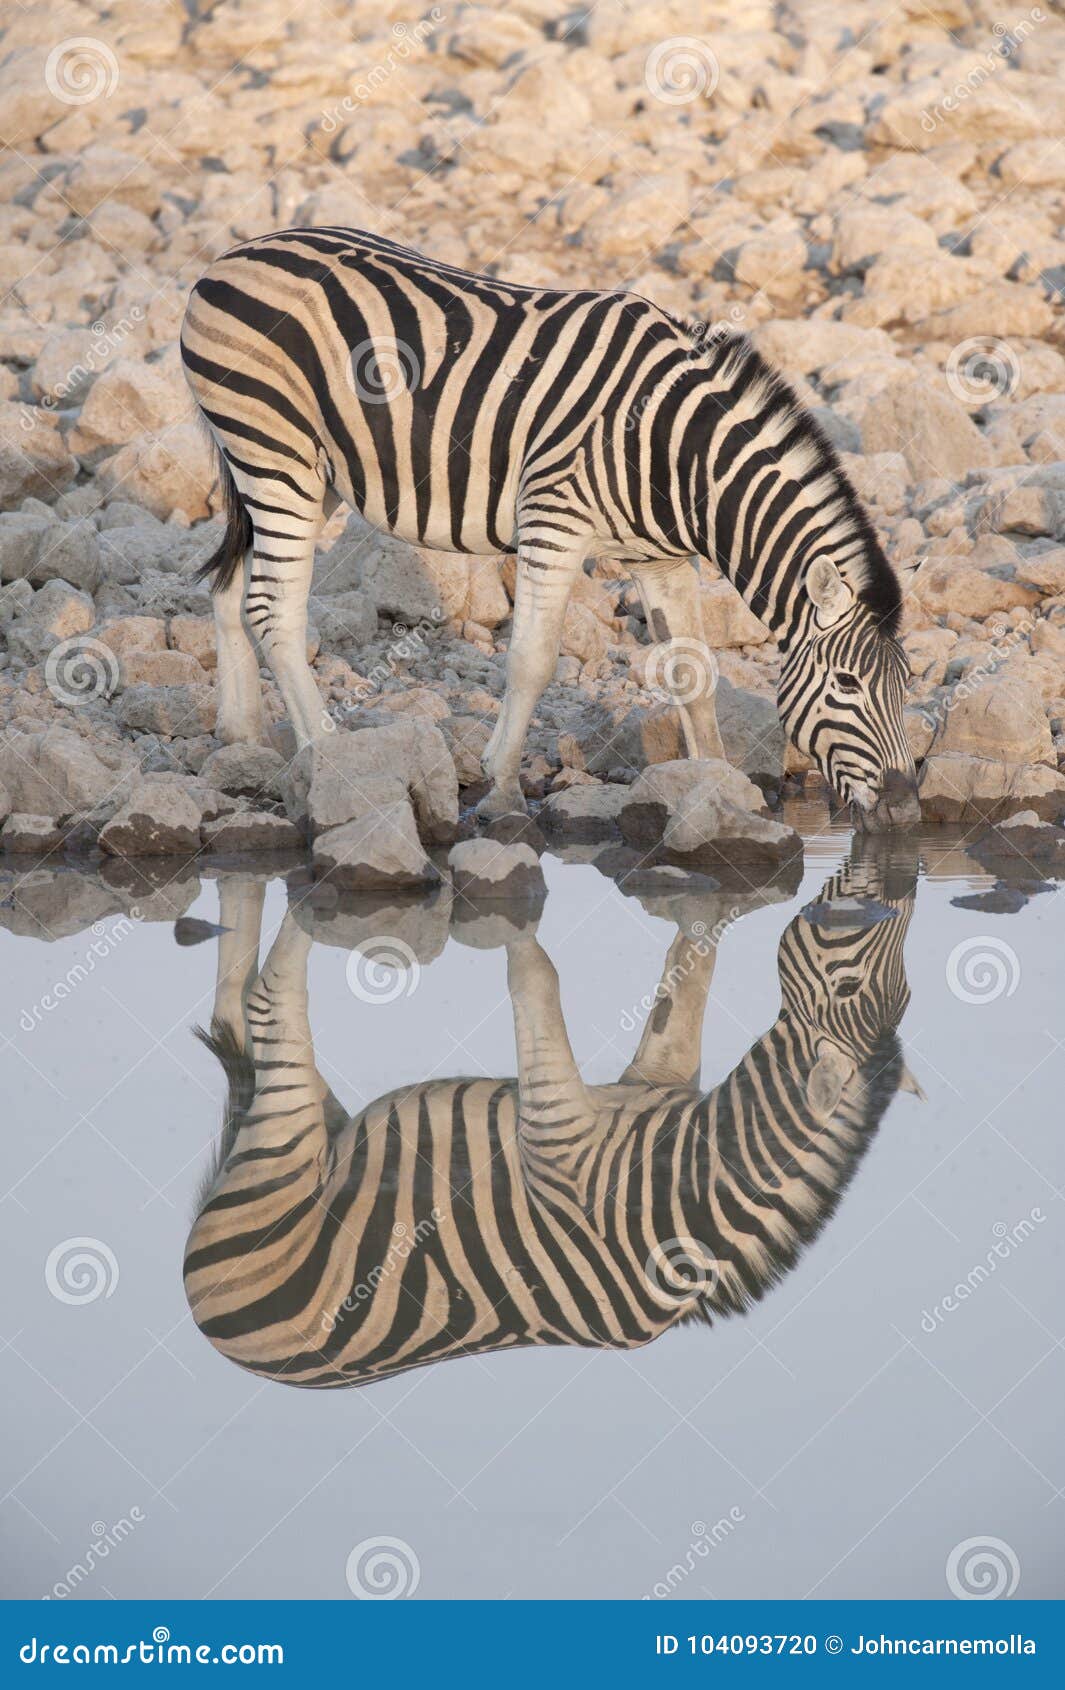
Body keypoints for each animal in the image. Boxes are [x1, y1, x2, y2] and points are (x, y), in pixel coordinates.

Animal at [180, 227, 920, 830]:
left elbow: (694, 671)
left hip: (301, 471)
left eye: (905, 686)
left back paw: (241, 736)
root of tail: (233, 255)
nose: (904, 809)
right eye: (847, 686)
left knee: (229, 589)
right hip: (275, 452)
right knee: (272, 607)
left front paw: (716, 783)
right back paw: (326, 752)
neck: (673, 452)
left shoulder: (660, 558)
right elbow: (532, 663)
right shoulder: (553, 521)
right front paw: (502, 790)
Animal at [183, 849, 920, 1390]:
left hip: (295, 1130)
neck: (680, 1195)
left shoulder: (570, 1124)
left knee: (254, 1007)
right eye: (855, 984)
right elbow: (584, 969)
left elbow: (637, 977)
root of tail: (212, 1329)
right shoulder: (578, 1120)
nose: (891, 891)